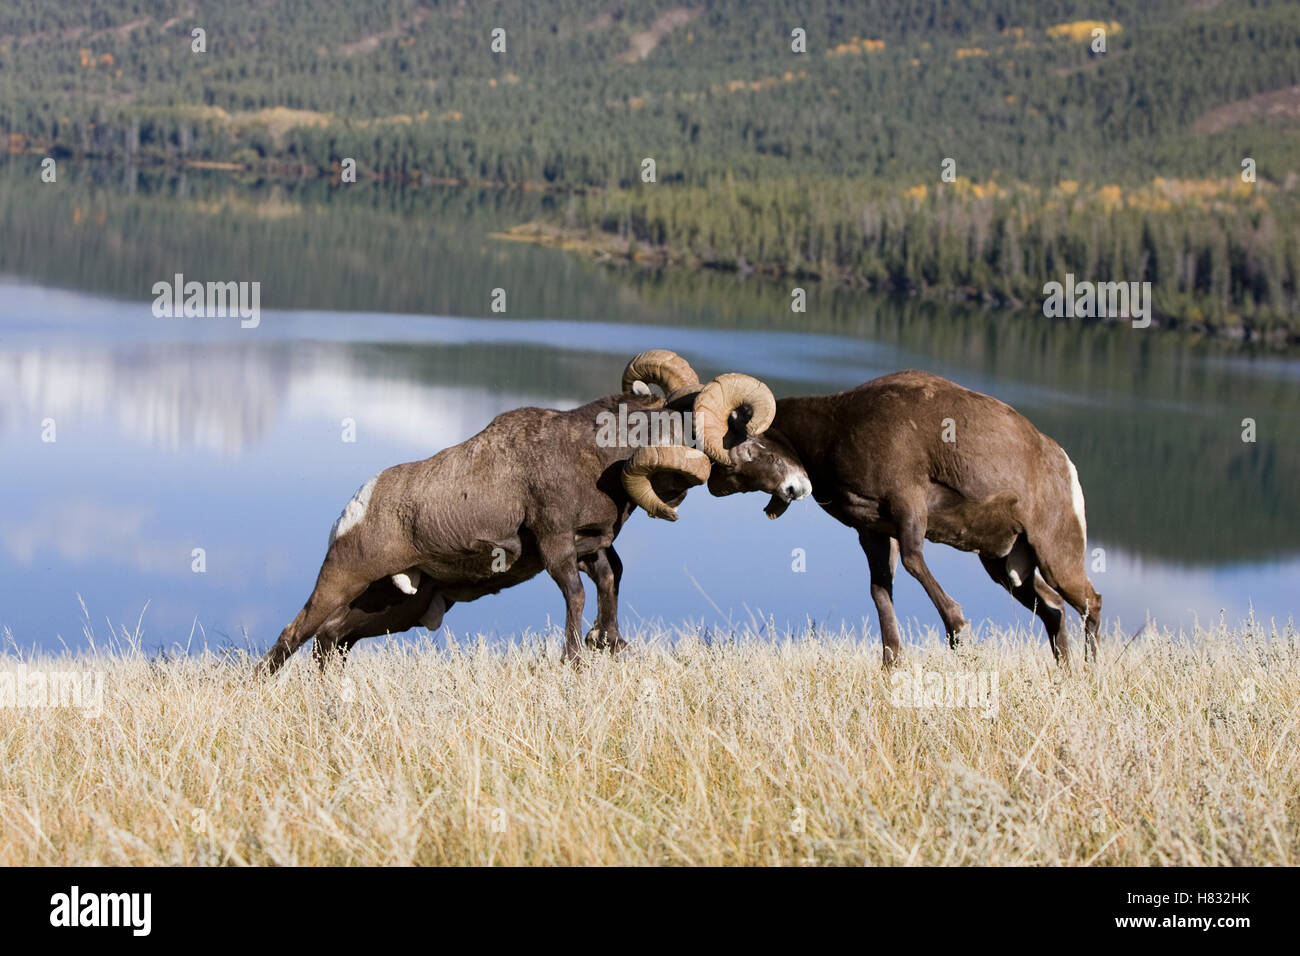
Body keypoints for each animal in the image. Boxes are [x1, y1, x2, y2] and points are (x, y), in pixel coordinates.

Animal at [253, 351, 778, 674]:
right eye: (730, 425)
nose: (770, 462)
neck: (596, 456)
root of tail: (355, 508)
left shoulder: (592, 548)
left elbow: (607, 586)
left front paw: (609, 647)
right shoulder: (555, 546)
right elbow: (576, 598)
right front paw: (573, 661)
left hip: (392, 605)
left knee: (330, 639)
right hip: (343, 578)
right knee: (294, 634)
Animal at [694, 369, 1102, 668]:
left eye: (748, 450)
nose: (794, 489)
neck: (839, 430)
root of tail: (1063, 464)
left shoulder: (908, 507)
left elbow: (913, 563)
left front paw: (958, 633)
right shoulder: (872, 532)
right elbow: (880, 590)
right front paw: (891, 664)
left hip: (1055, 559)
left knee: (1090, 602)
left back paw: (1090, 672)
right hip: (1007, 569)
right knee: (1054, 610)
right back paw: (1066, 673)